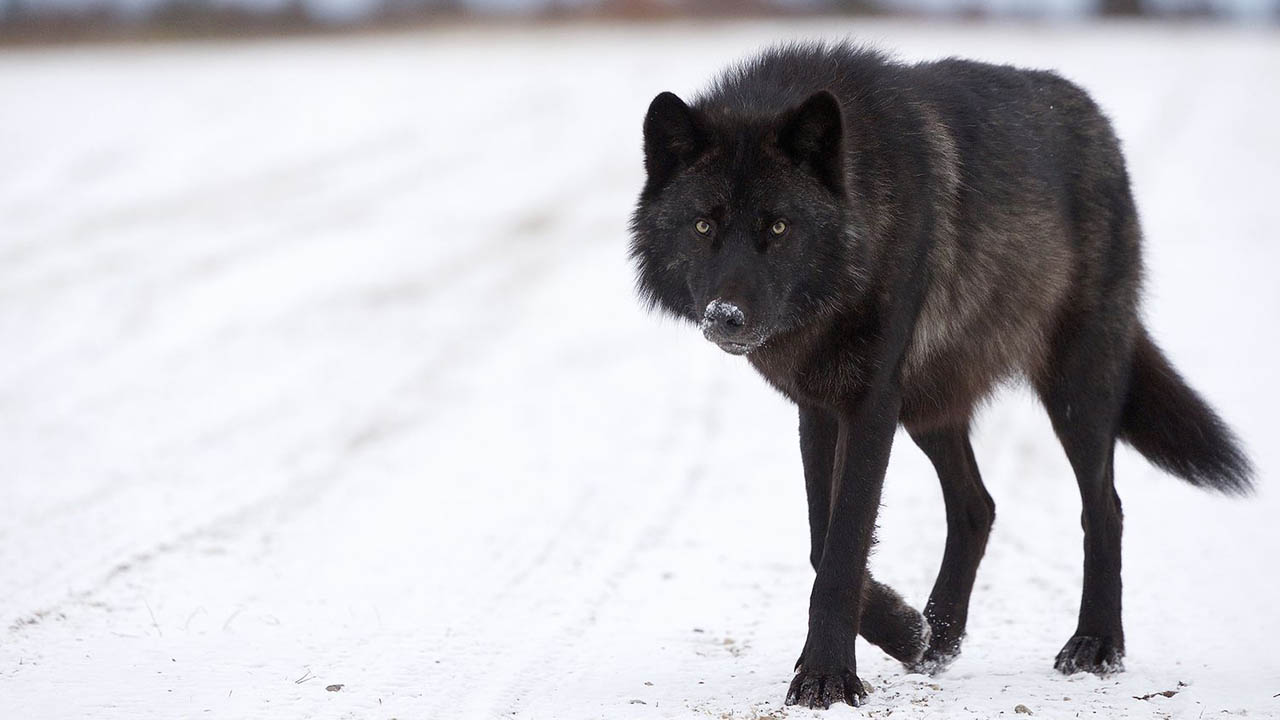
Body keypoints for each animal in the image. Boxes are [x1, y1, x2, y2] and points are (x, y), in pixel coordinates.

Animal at [628, 42, 1253, 709]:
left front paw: (827, 676)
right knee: (978, 505)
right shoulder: (820, 405)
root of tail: (1096, 119)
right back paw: (939, 637)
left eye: (777, 226)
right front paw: (906, 631)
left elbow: (843, 544)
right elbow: (823, 540)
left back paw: (1096, 645)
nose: (727, 316)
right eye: (703, 225)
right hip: (929, 406)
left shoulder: (871, 402)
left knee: (1103, 506)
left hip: (1075, 389)